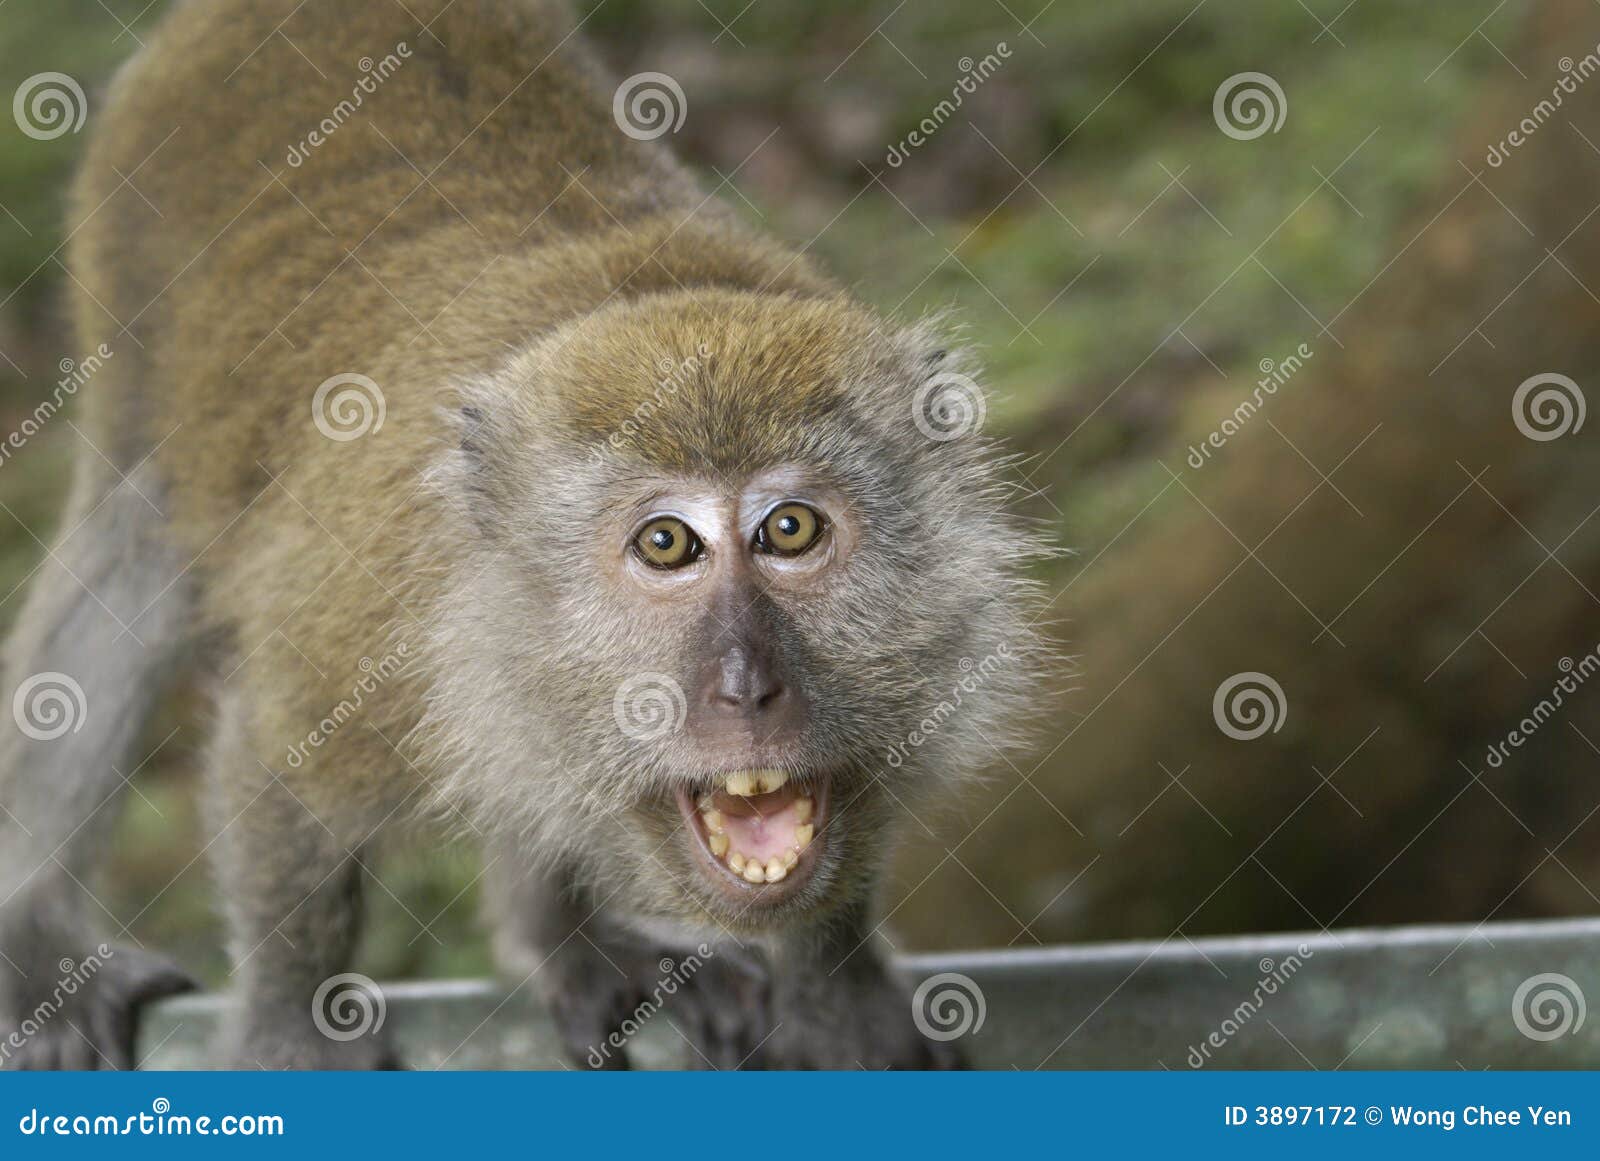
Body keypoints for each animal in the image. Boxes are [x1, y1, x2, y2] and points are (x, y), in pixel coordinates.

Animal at [0, 0, 1045, 1070]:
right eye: (665, 545)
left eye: (790, 529)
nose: (746, 685)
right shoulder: (374, 630)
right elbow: (281, 762)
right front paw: (296, 1026)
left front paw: (836, 977)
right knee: (131, 544)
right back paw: (37, 938)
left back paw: (567, 937)